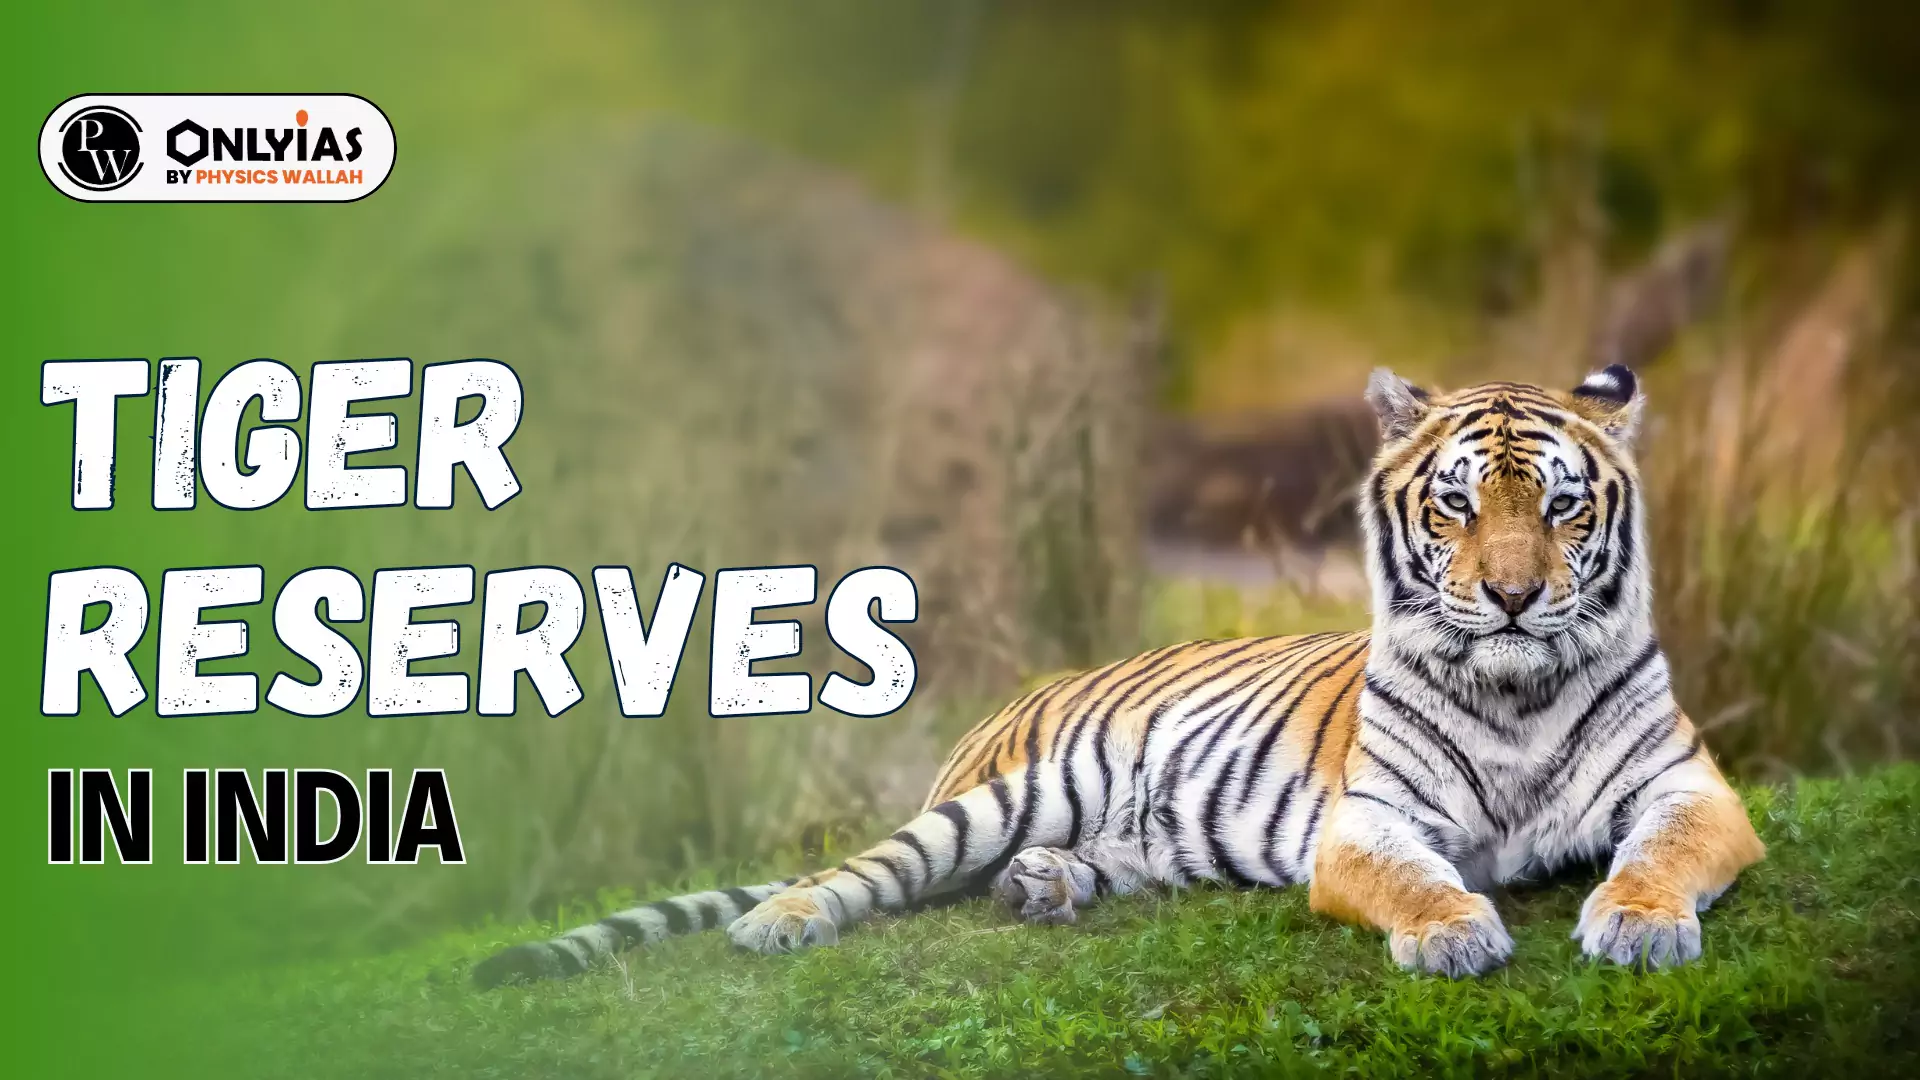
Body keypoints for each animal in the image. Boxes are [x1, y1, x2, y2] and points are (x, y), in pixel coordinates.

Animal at [474, 364, 1763, 987]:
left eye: (1560, 506)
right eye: (1455, 506)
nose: (1510, 596)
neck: (1516, 690)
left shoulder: (1693, 789)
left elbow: (1660, 855)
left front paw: (1638, 926)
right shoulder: (1372, 821)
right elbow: (1413, 880)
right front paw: (1453, 935)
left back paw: (1044, 888)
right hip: (1007, 794)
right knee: (866, 871)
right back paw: (782, 923)